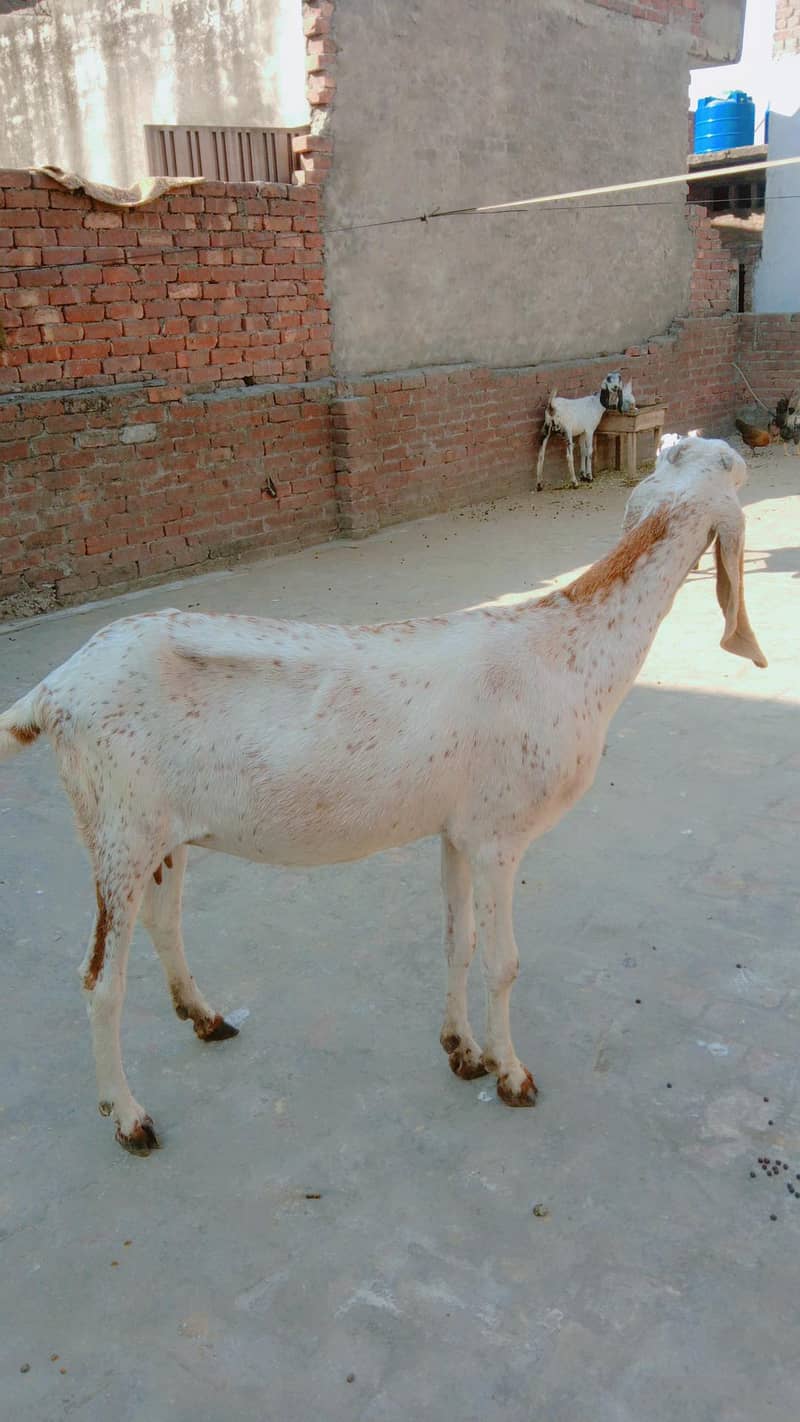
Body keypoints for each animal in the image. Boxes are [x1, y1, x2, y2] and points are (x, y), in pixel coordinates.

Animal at [0, 438, 766, 1156]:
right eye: (730, 468)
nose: (745, 456)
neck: (571, 650)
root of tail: (53, 691)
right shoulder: (499, 836)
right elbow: (504, 962)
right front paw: (513, 1076)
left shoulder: (457, 831)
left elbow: (458, 942)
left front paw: (463, 1052)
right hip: (117, 831)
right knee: (99, 980)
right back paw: (130, 1118)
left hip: (160, 832)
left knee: (165, 923)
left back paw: (208, 1019)